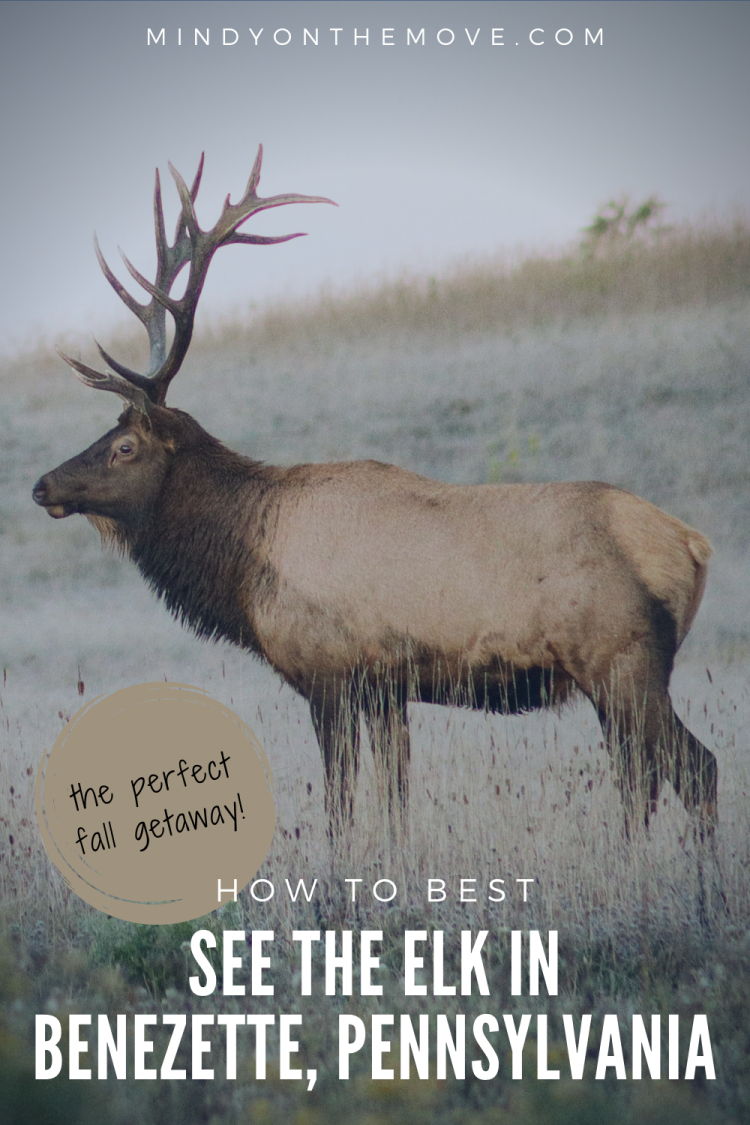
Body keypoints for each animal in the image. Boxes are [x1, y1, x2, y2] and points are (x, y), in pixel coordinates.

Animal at [32, 146, 718, 839]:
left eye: (125, 446)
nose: (42, 485)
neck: (246, 563)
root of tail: (692, 545)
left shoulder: (328, 674)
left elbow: (341, 805)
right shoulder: (387, 688)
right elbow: (396, 800)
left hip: (623, 659)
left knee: (691, 769)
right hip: (616, 675)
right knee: (650, 775)